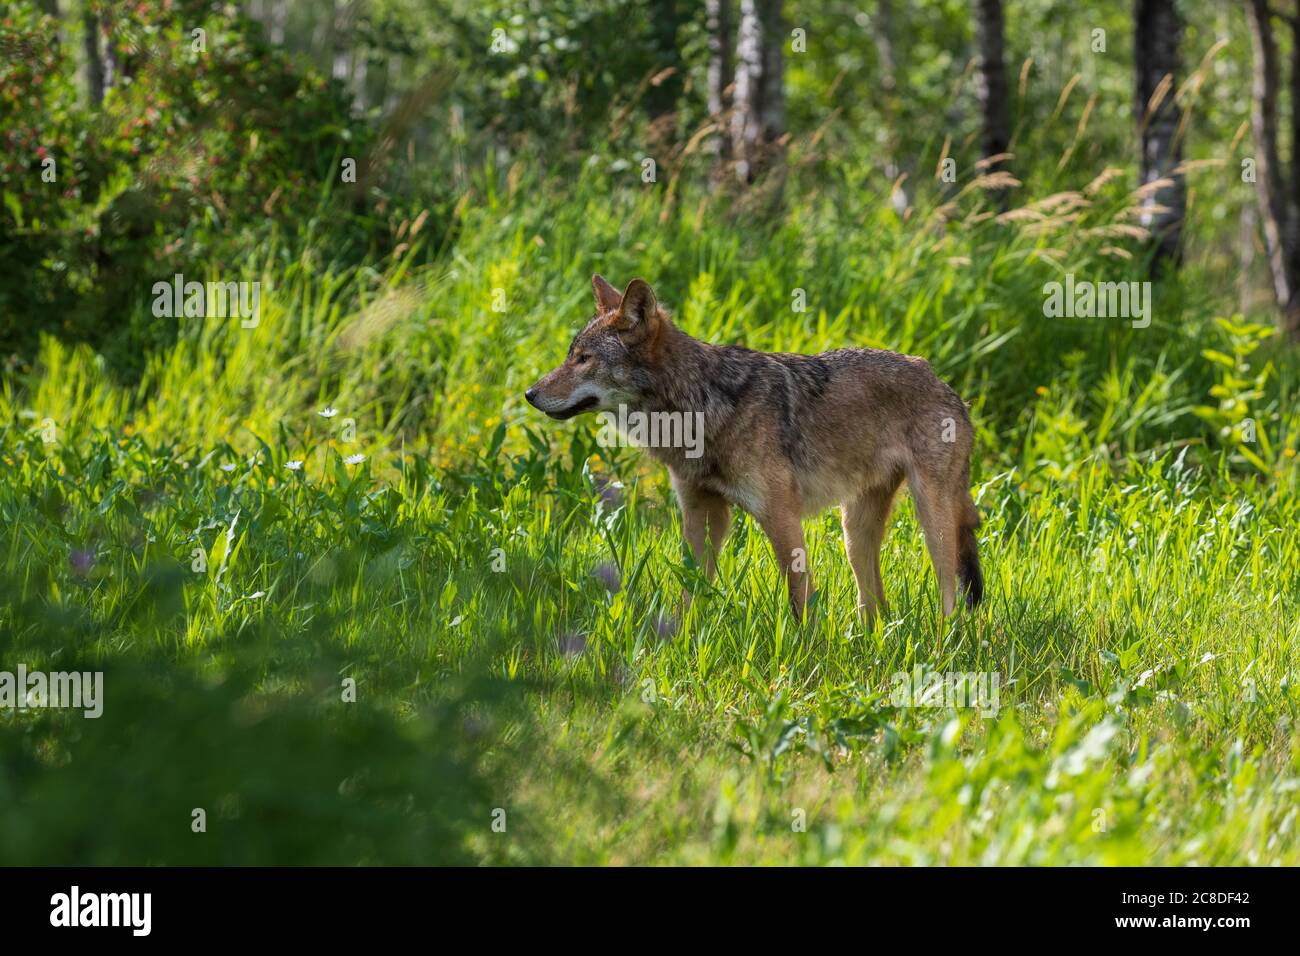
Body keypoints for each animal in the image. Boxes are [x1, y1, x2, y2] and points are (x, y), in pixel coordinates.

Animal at [525, 275, 982, 621]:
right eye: (570, 356)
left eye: (584, 359)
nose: (530, 394)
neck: (700, 406)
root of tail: (944, 383)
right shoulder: (703, 514)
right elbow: (690, 588)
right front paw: (678, 638)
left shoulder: (781, 515)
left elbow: (799, 597)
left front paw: (806, 652)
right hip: (855, 532)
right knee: (876, 604)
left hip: (933, 522)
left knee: (951, 593)